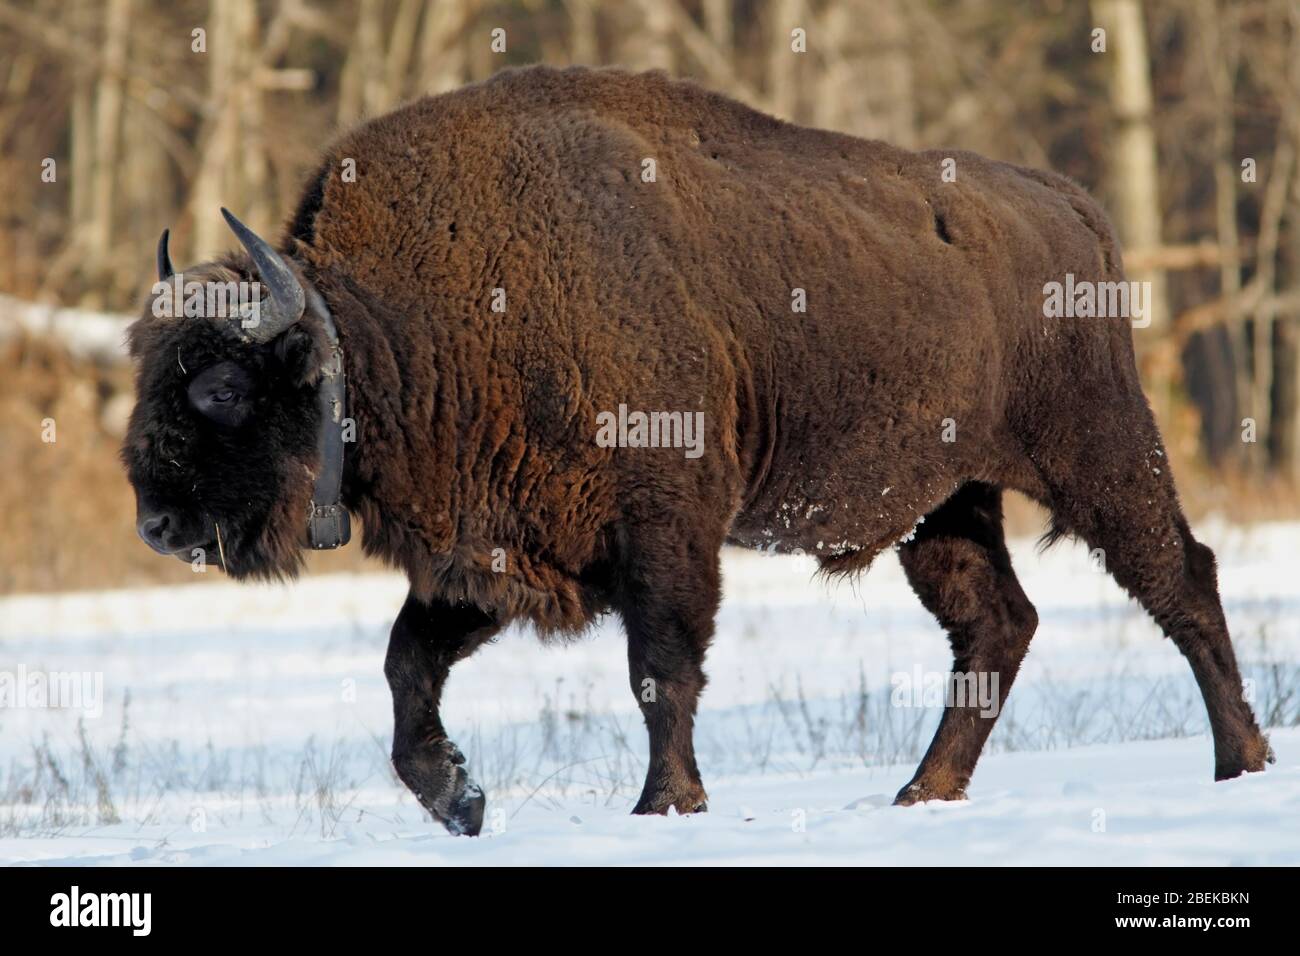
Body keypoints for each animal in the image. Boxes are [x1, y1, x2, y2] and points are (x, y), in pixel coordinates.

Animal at [123, 65, 1272, 836]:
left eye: (221, 387)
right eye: (146, 376)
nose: (159, 521)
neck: (398, 330)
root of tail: (1070, 204)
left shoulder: (665, 531)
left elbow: (661, 668)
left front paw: (664, 804)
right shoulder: (494, 552)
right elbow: (408, 667)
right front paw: (461, 800)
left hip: (1094, 451)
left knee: (1179, 576)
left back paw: (1241, 763)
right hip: (946, 504)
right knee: (998, 622)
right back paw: (921, 793)